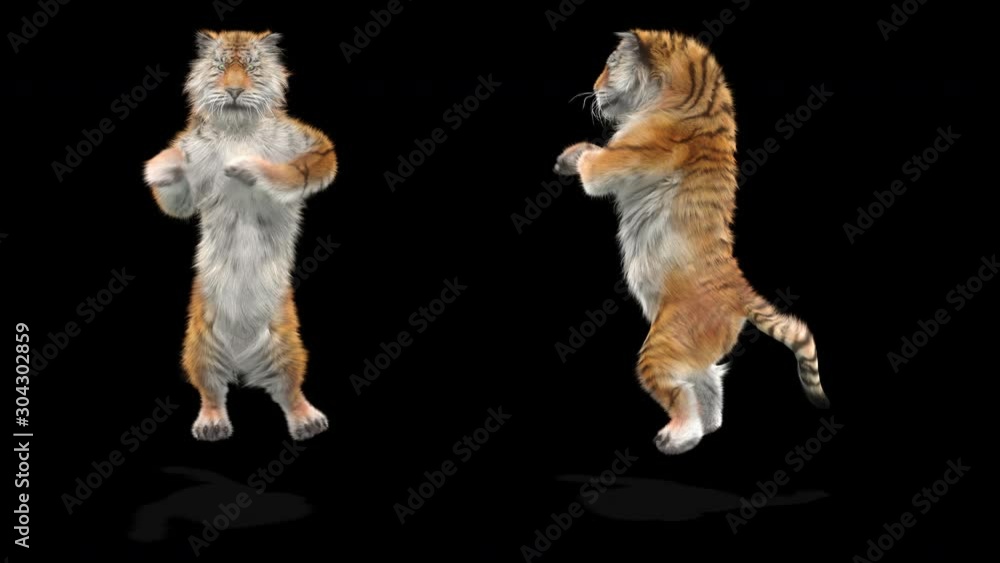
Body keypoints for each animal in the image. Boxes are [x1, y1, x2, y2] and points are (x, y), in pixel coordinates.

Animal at [143, 30, 338, 441]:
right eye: (220, 68)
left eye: (250, 68)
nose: (233, 90)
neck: (237, 127)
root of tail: (243, 357)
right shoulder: (187, 189)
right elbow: (176, 192)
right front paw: (163, 164)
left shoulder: (315, 147)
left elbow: (290, 172)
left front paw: (248, 168)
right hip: (198, 345)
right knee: (211, 390)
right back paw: (212, 424)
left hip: (287, 344)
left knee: (290, 390)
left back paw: (308, 421)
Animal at [554, 30, 829, 455]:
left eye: (610, 64)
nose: (595, 88)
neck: (690, 95)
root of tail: (739, 288)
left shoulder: (617, 160)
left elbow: (593, 163)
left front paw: (572, 155)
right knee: (709, 378)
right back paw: (708, 426)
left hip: (664, 343)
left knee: (679, 392)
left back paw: (678, 436)